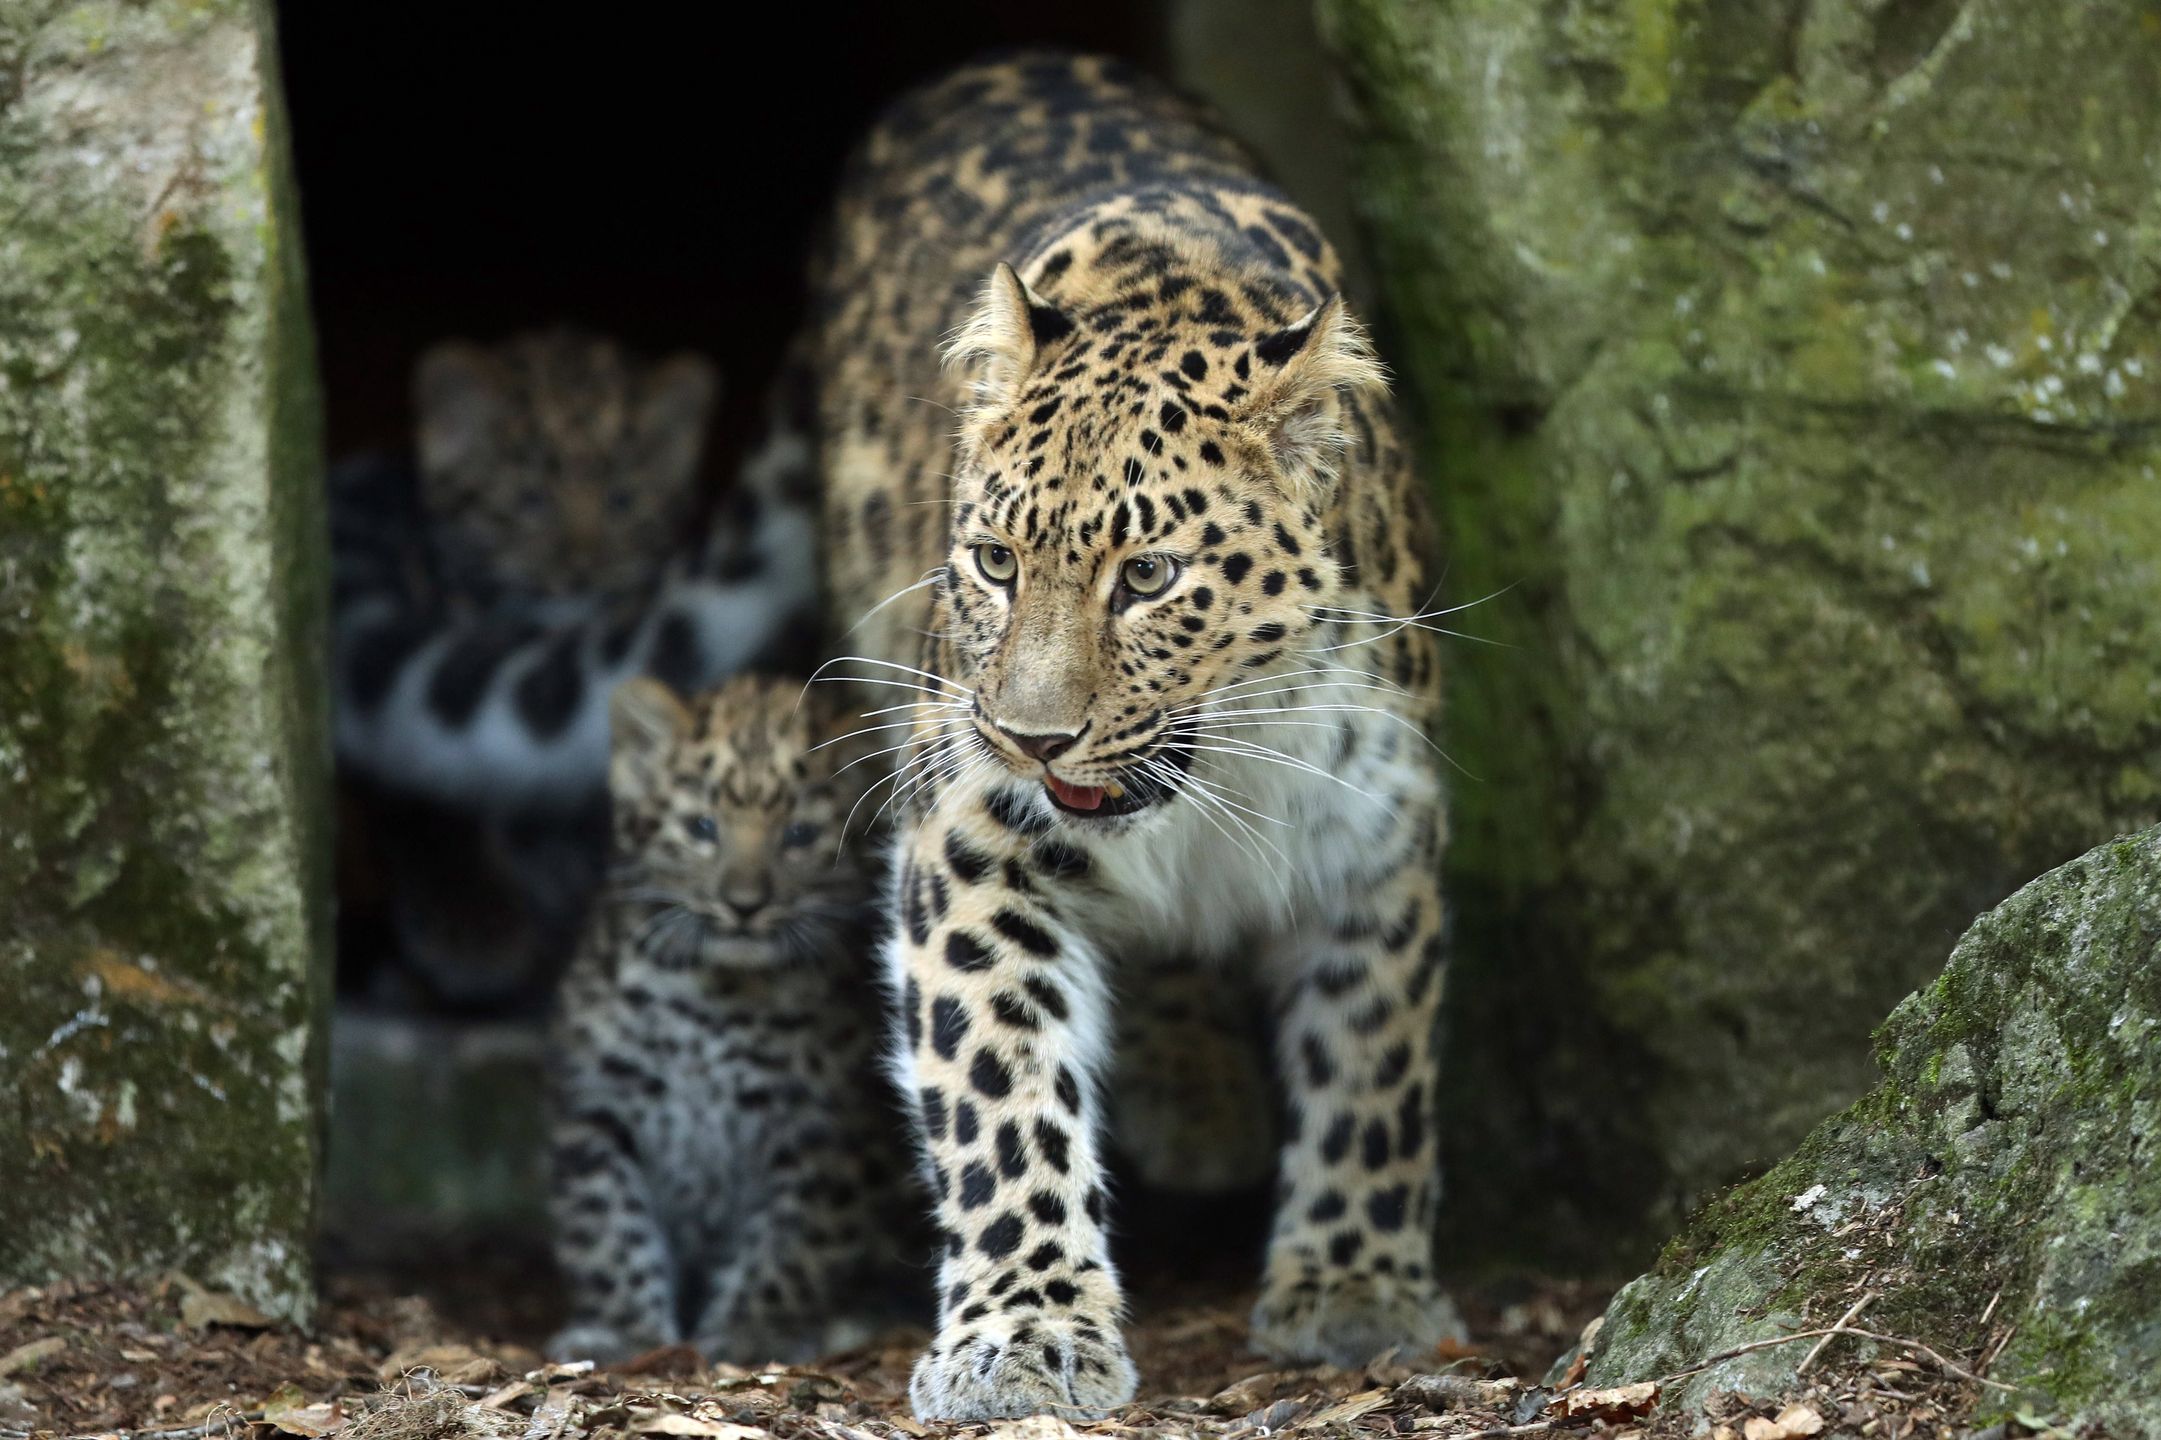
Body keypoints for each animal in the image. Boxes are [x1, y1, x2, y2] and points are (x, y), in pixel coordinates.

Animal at [546, 673, 913, 1365]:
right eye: (701, 827)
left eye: (799, 836)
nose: (743, 905)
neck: (716, 992)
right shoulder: (600, 1105)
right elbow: (609, 1225)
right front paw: (624, 1331)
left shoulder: (825, 1130)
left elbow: (793, 1243)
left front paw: (751, 1332)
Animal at [802, 52, 1463, 1421]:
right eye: (995, 561)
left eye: (1148, 576)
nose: (1030, 738)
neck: (1227, 771)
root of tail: (998, 60)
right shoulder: (969, 839)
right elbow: (998, 1089)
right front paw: (1025, 1332)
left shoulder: (1380, 845)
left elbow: (1374, 1060)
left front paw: (1356, 1284)